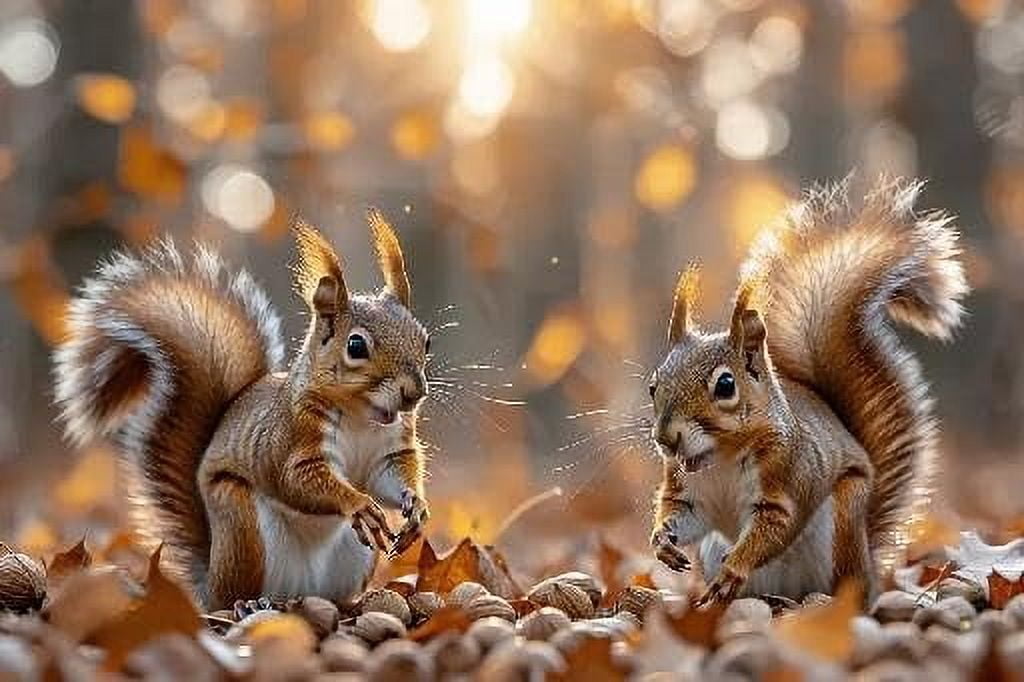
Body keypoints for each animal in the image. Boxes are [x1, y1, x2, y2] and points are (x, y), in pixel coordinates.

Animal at [53, 210, 431, 610]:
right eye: (356, 346)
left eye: (426, 340)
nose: (414, 393)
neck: (363, 415)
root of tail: (208, 583)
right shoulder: (290, 438)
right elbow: (295, 479)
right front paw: (357, 503)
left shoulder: (391, 448)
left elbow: (391, 472)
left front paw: (415, 505)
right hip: (241, 526)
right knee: (234, 592)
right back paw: (247, 604)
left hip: (353, 557)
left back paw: (353, 603)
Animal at [647, 178, 968, 605]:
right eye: (653, 386)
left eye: (725, 385)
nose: (666, 439)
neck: (721, 455)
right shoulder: (685, 490)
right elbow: (678, 512)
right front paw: (662, 542)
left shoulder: (788, 477)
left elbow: (775, 528)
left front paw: (736, 566)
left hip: (844, 522)